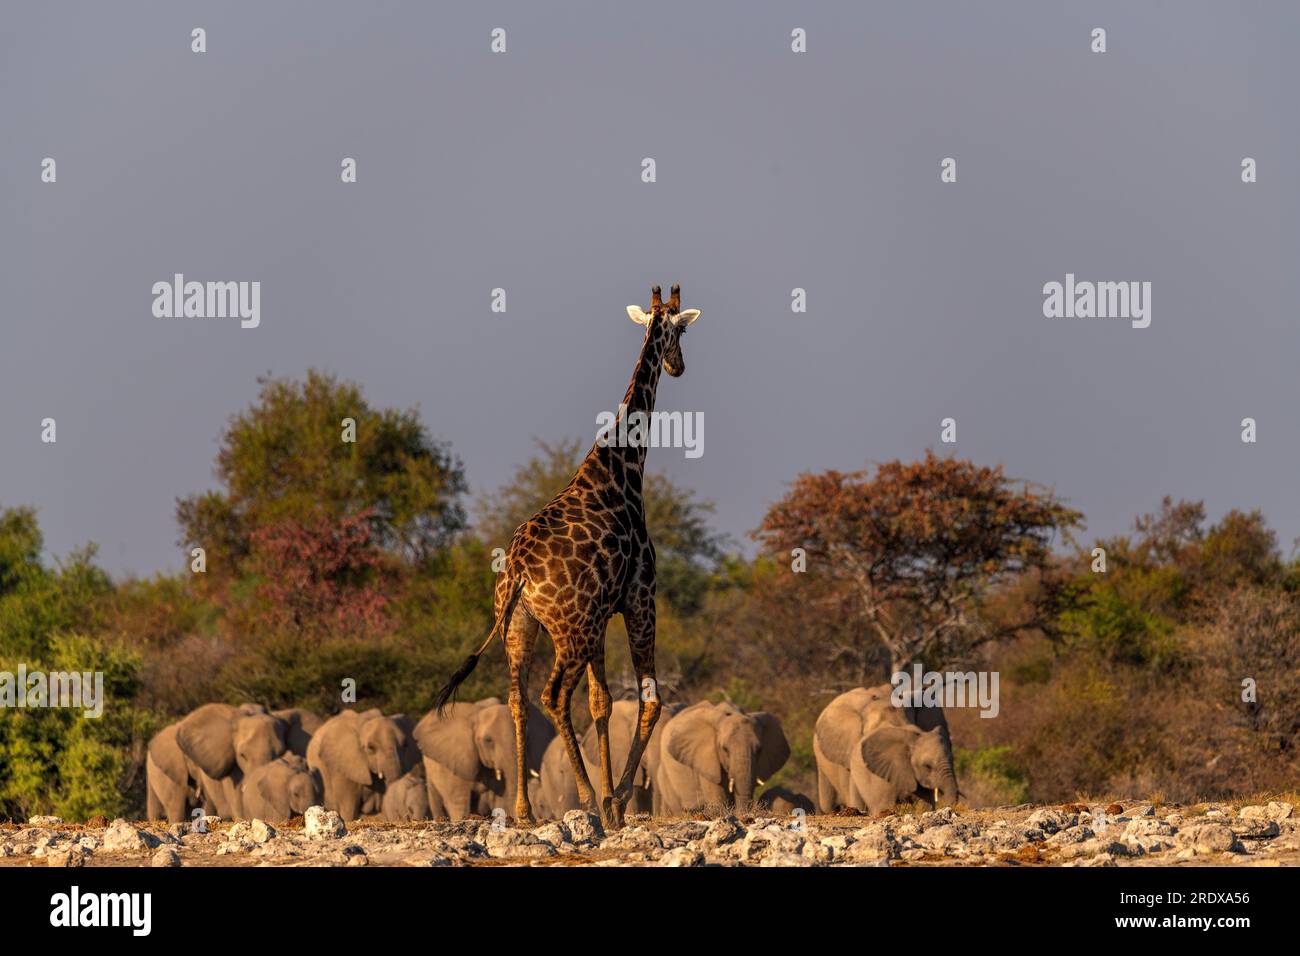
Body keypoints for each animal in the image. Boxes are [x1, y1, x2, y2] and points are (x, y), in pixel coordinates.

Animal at [435, 284, 702, 828]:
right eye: (682, 331)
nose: (679, 366)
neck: (623, 466)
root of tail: (517, 572)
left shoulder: (602, 616)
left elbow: (602, 703)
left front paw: (613, 800)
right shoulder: (639, 598)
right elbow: (649, 700)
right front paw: (615, 799)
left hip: (519, 626)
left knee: (519, 698)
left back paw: (524, 810)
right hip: (570, 629)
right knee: (552, 695)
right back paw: (584, 797)